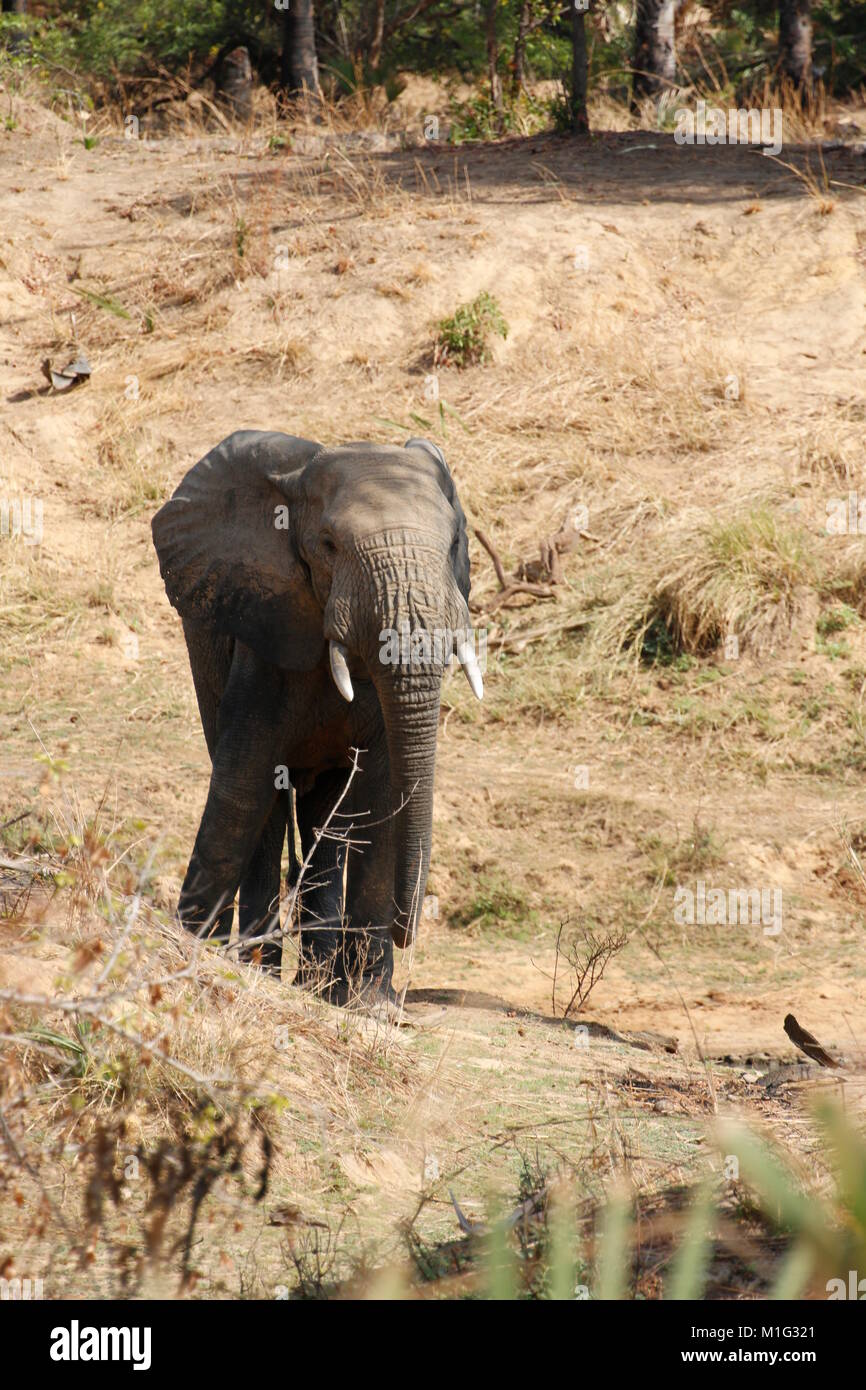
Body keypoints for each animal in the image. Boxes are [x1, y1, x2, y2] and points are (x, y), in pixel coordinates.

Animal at [151, 430, 483, 1006]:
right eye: (328, 545)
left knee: (326, 819)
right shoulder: (265, 631)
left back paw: (316, 987)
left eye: (452, 545)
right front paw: (189, 954)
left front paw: (370, 1006)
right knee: (267, 808)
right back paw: (262, 970)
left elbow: (381, 793)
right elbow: (241, 784)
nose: (407, 929)